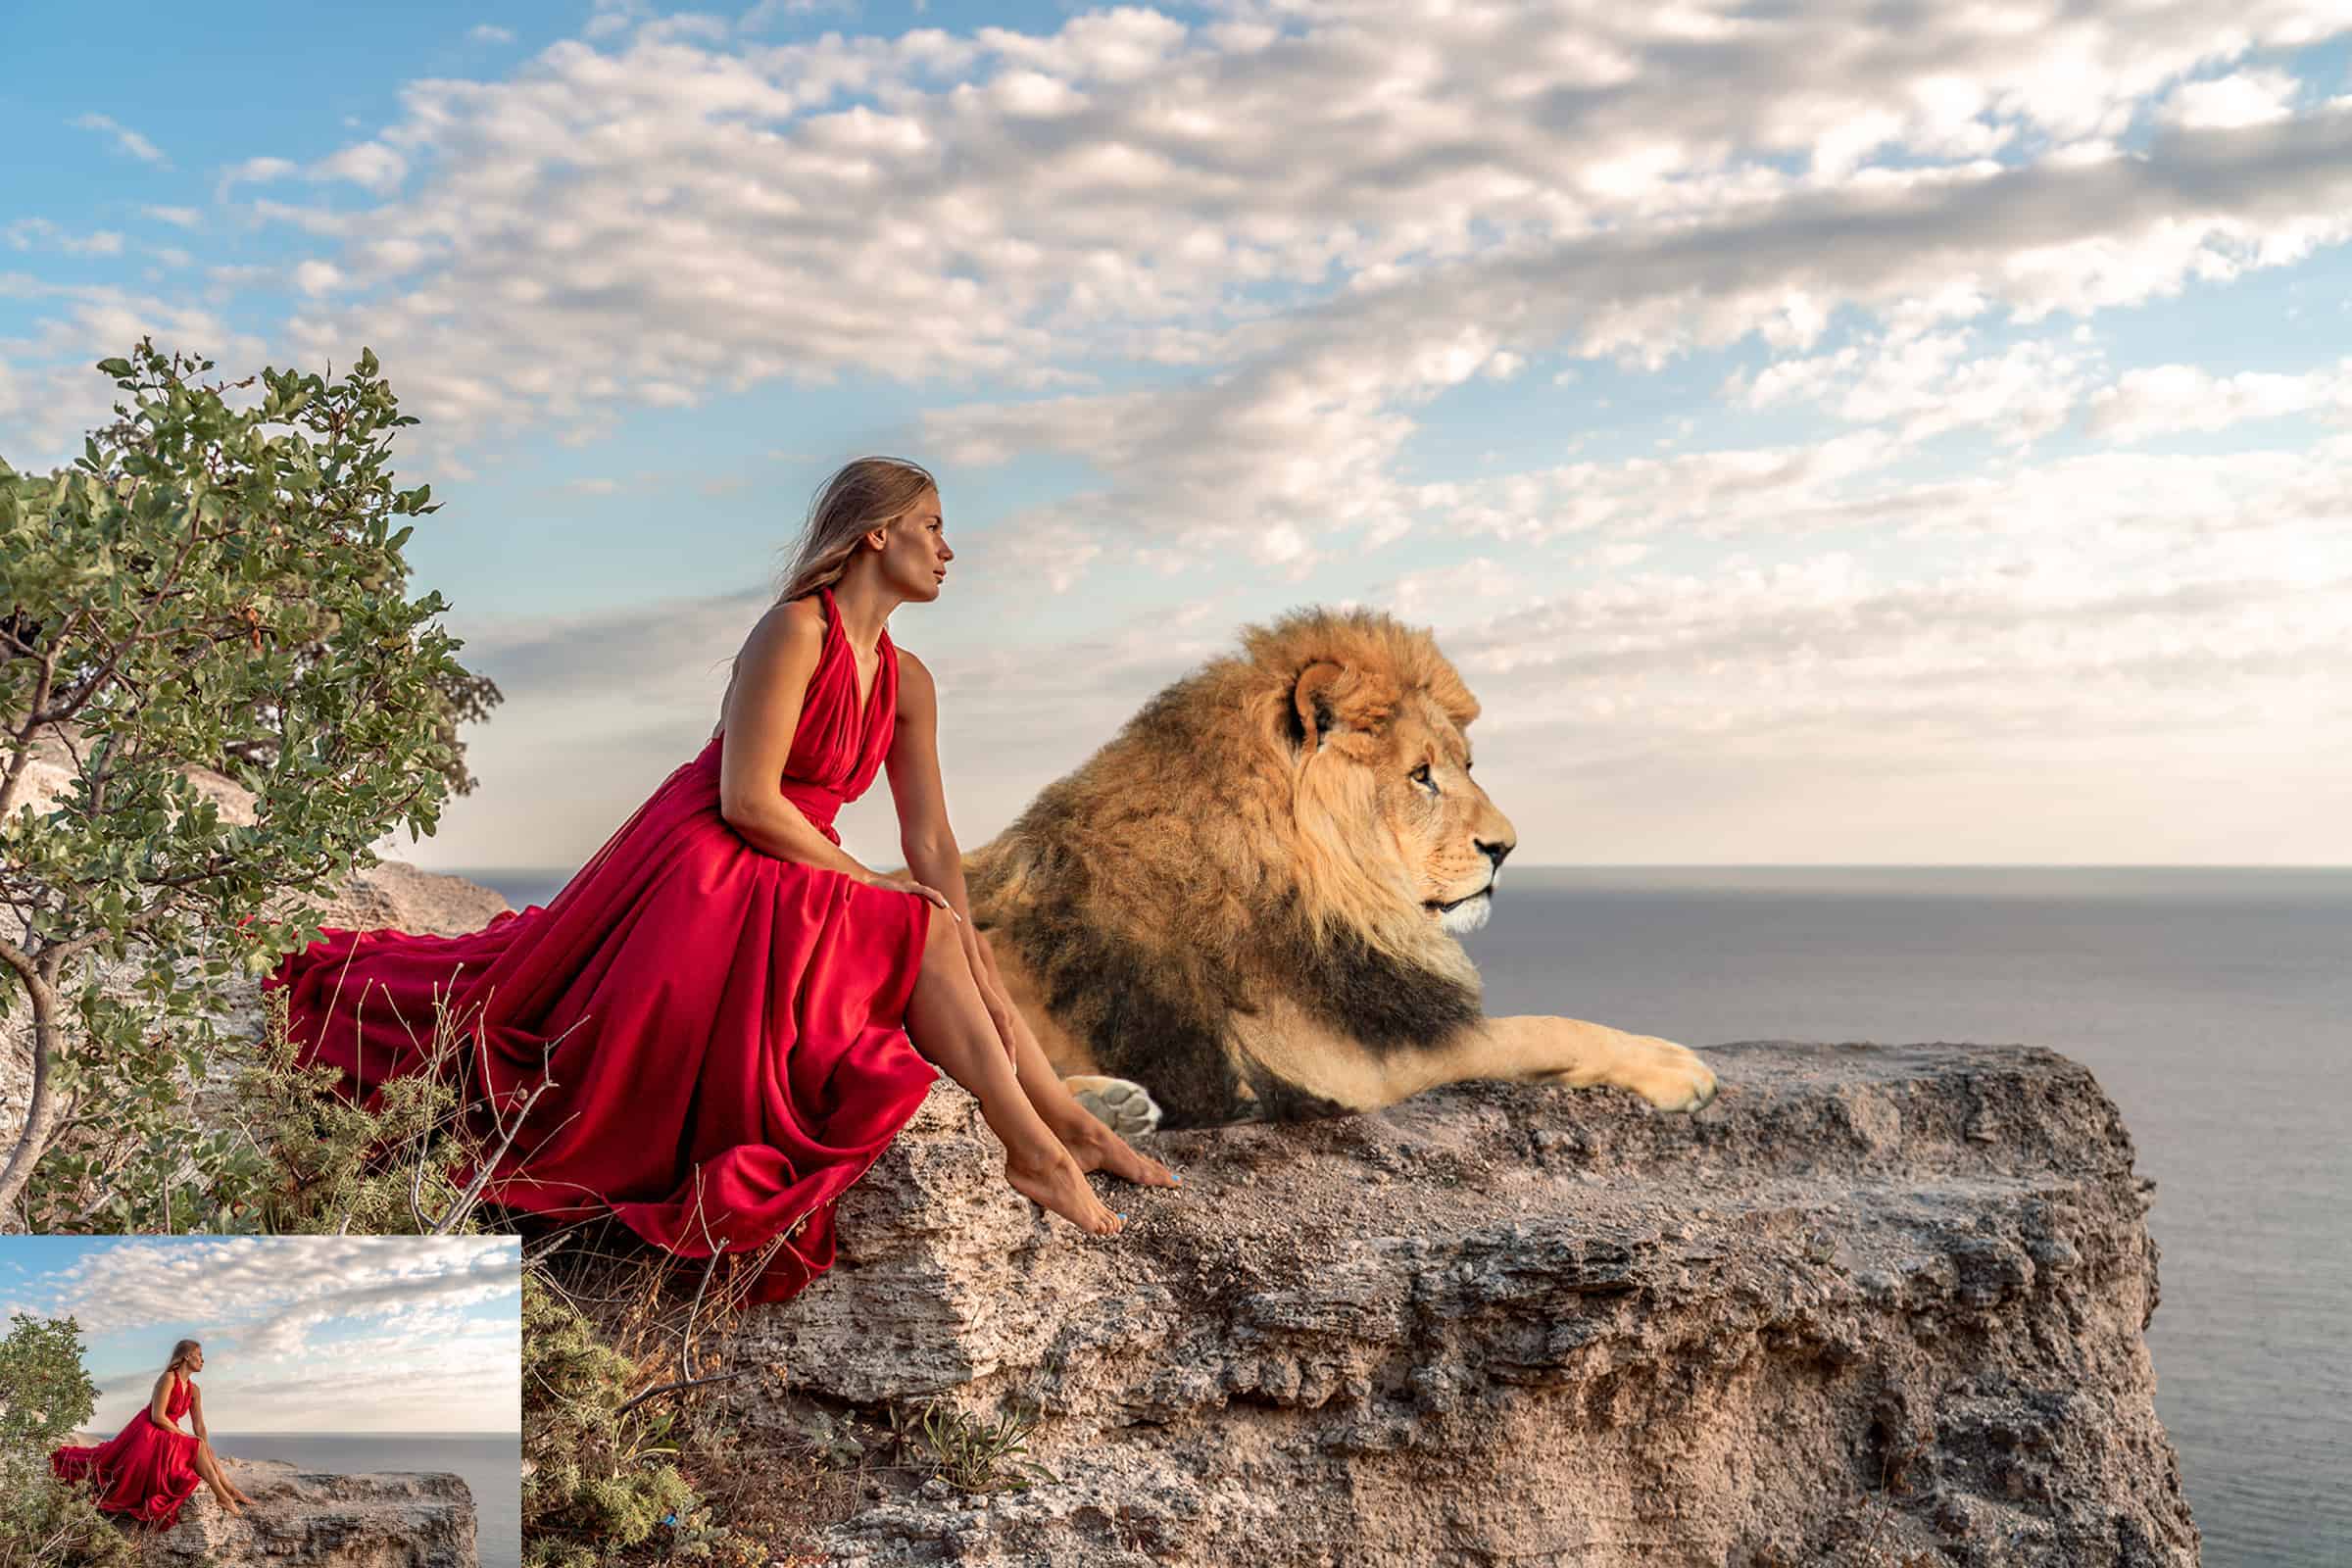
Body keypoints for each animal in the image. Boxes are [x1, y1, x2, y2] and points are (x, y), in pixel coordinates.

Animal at [955, 602, 1719, 1134]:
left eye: (1467, 766)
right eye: (1421, 776)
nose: (1506, 847)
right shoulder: (1344, 1064)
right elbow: (1537, 1028)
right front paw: (1674, 1066)